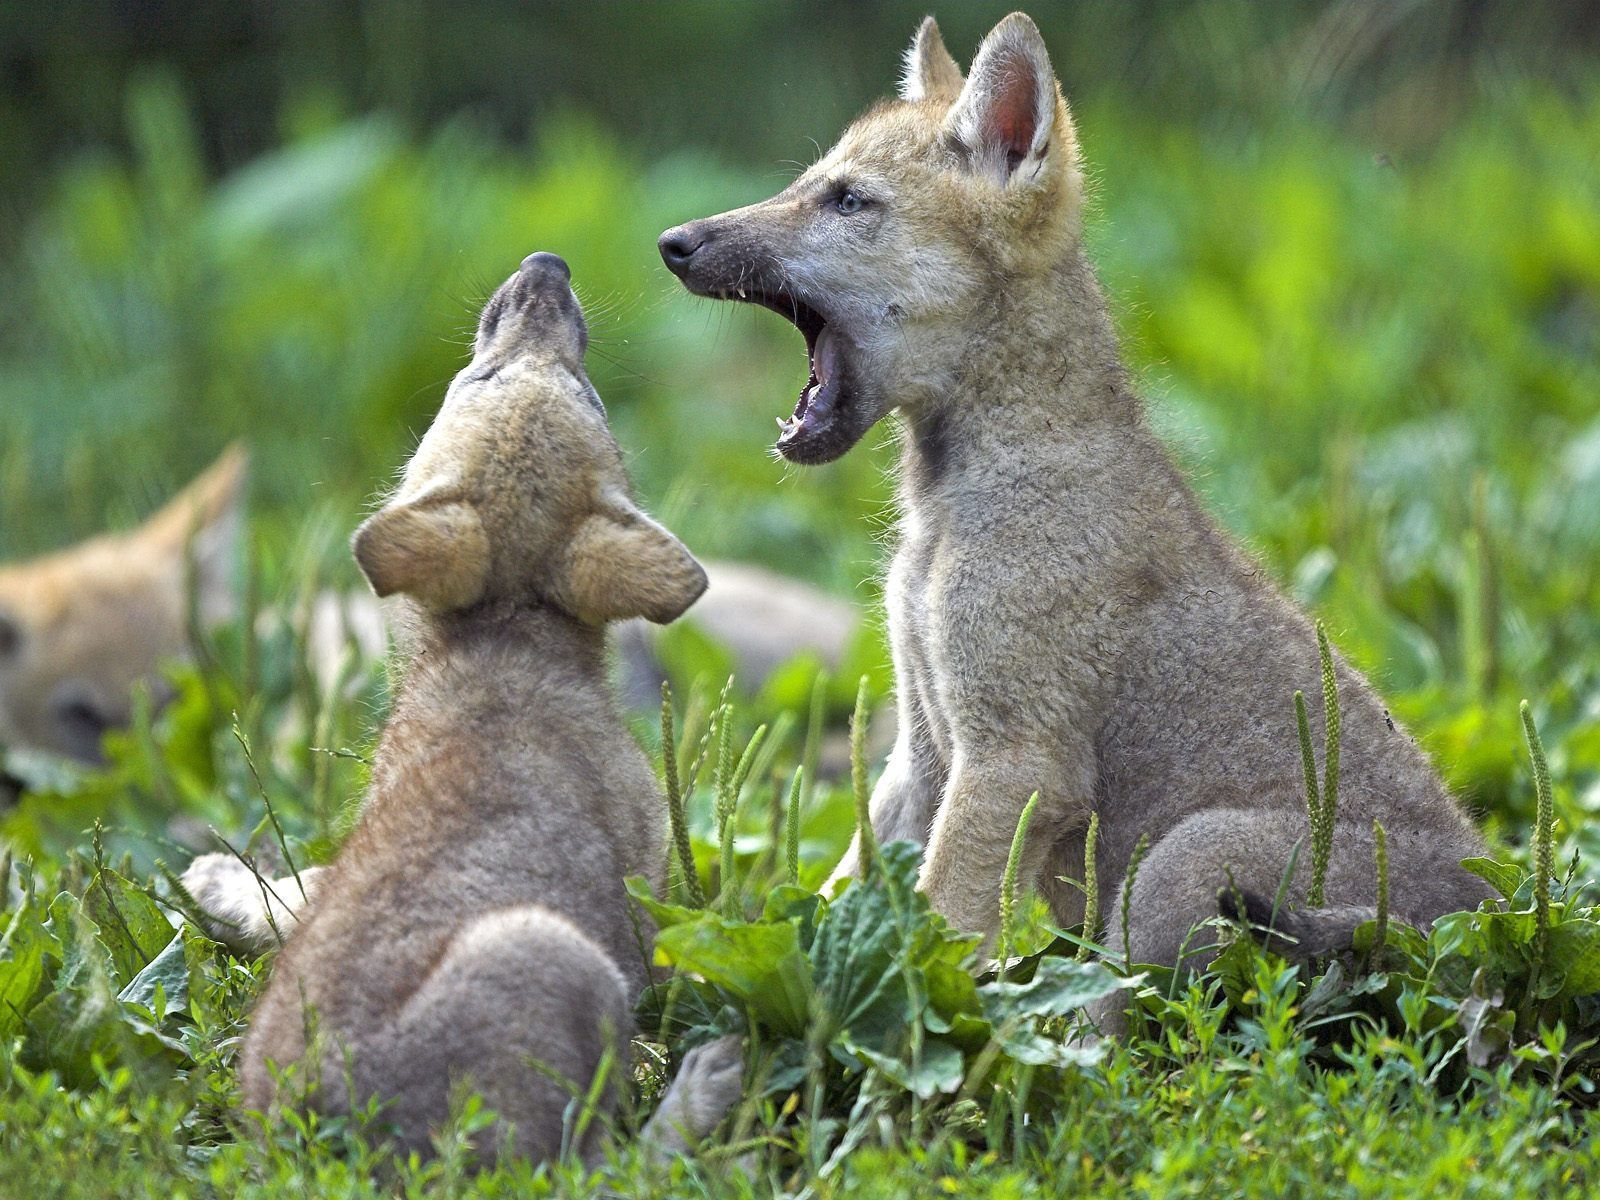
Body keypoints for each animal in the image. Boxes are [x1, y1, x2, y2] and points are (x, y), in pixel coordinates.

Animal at [184, 252, 742, 1163]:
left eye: (583, 390)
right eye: (481, 376)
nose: (547, 266)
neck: (506, 631)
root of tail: (328, 1137)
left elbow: (302, 886)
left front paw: (220, 881)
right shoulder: (649, 899)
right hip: (558, 963)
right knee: (604, 1164)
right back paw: (706, 1088)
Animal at [659, 13, 1490, 1007]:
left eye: (848, 200)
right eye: (810, 182)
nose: (672, 241)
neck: (949, 509)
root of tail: (1486, 916)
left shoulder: (1015, 759)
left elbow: (934, 929)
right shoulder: (923, 751)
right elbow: (843, 892)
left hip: (1180, 863)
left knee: (1128, 1004)